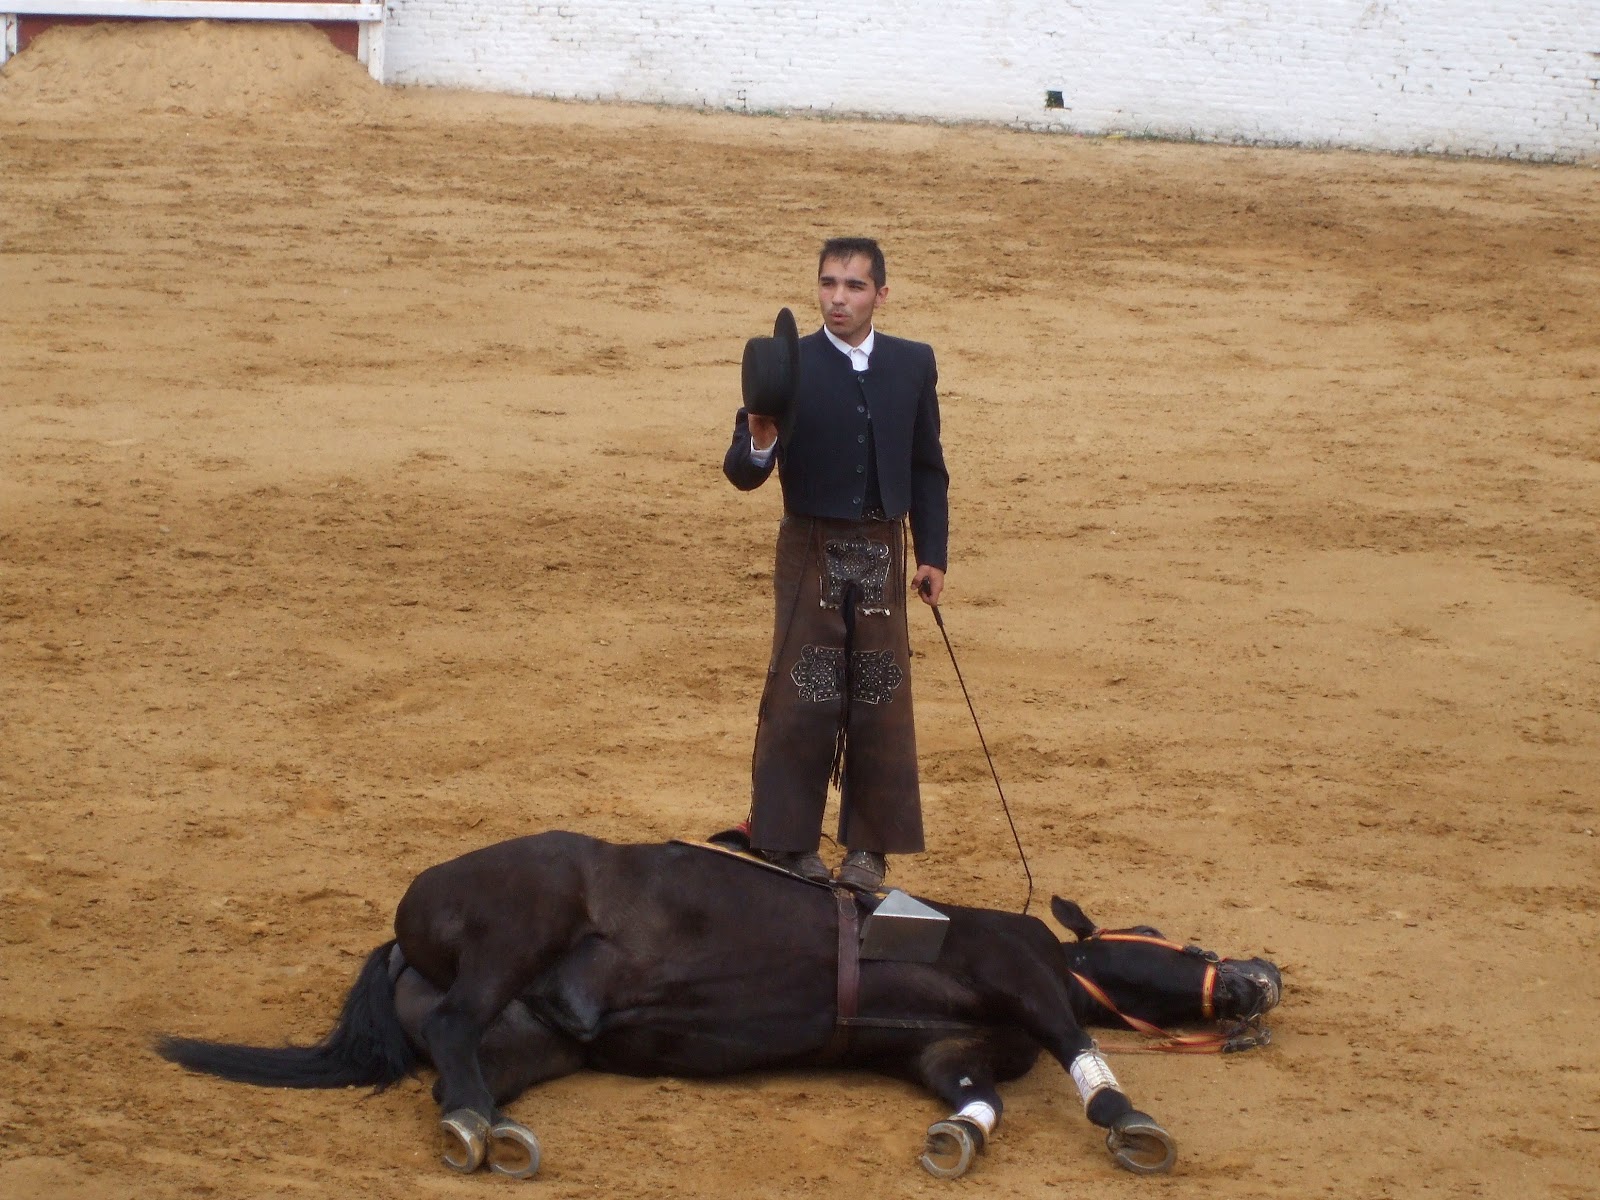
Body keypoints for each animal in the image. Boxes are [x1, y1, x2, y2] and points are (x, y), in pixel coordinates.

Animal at [156, 830, 1282, 1181]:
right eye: (1173, 939)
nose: (1264, 973)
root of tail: (405, 922)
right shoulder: (1023, 976)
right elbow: (1079, 1048)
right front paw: (1132, 1123)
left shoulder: (946, 1053)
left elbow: (980, 1103)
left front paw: (957, 1141)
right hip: (519, 927)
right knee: (451, 1024)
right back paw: (482, 1127)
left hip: (536, 1040)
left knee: (461, 1063)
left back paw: (486, 1125)